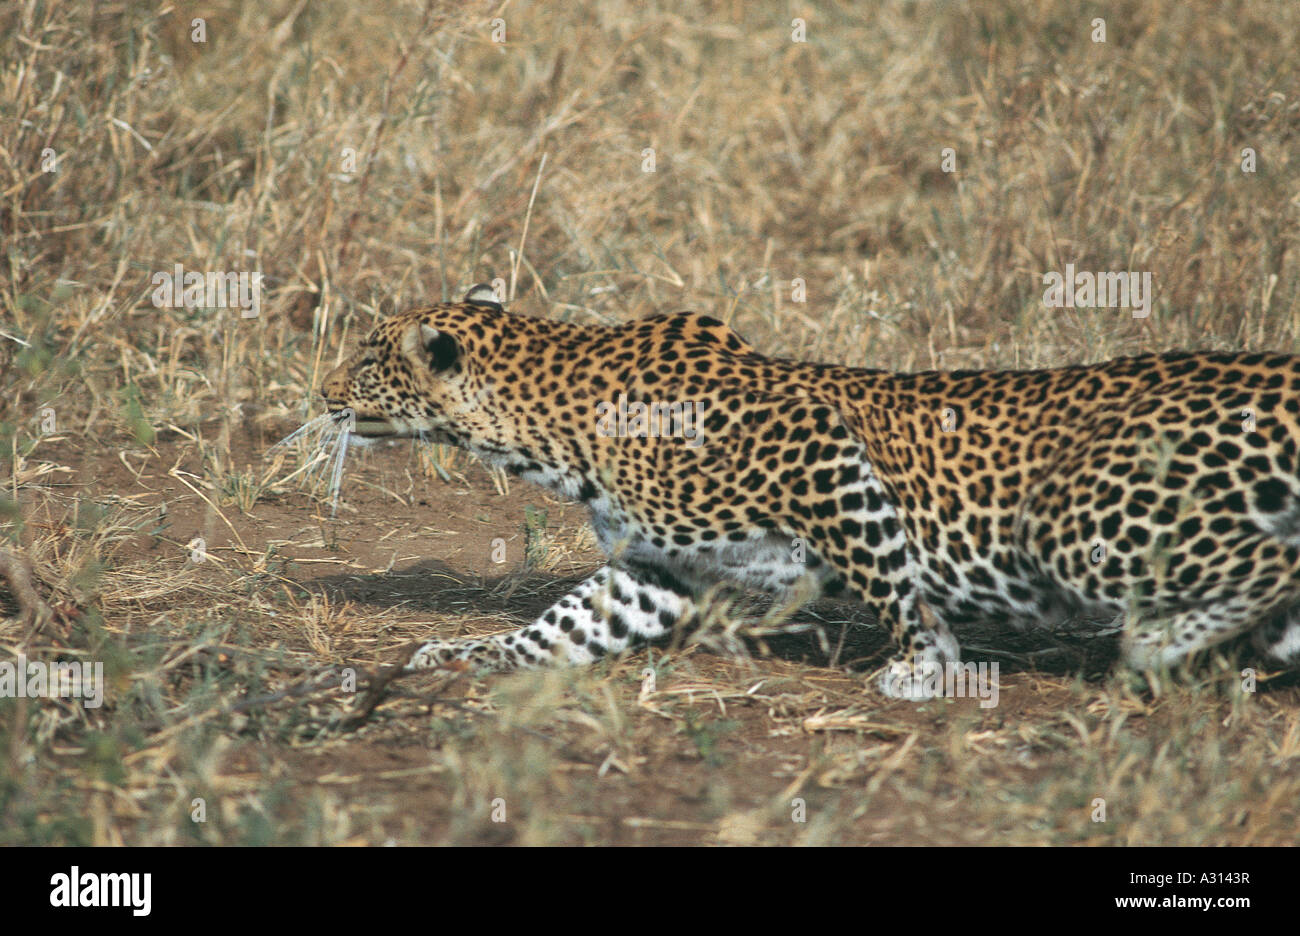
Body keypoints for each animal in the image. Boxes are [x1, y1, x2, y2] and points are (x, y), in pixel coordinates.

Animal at [315, 284, 1300, 698]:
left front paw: (925, 663)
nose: (319, 395)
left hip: (1072, 521)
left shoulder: (821, 450)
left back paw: (1168, 643)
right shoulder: (655, 570)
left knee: (1268, 558)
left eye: (365, 363)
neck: (553, 431)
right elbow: (560, 627)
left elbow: (887, 570)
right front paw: (460, 654)